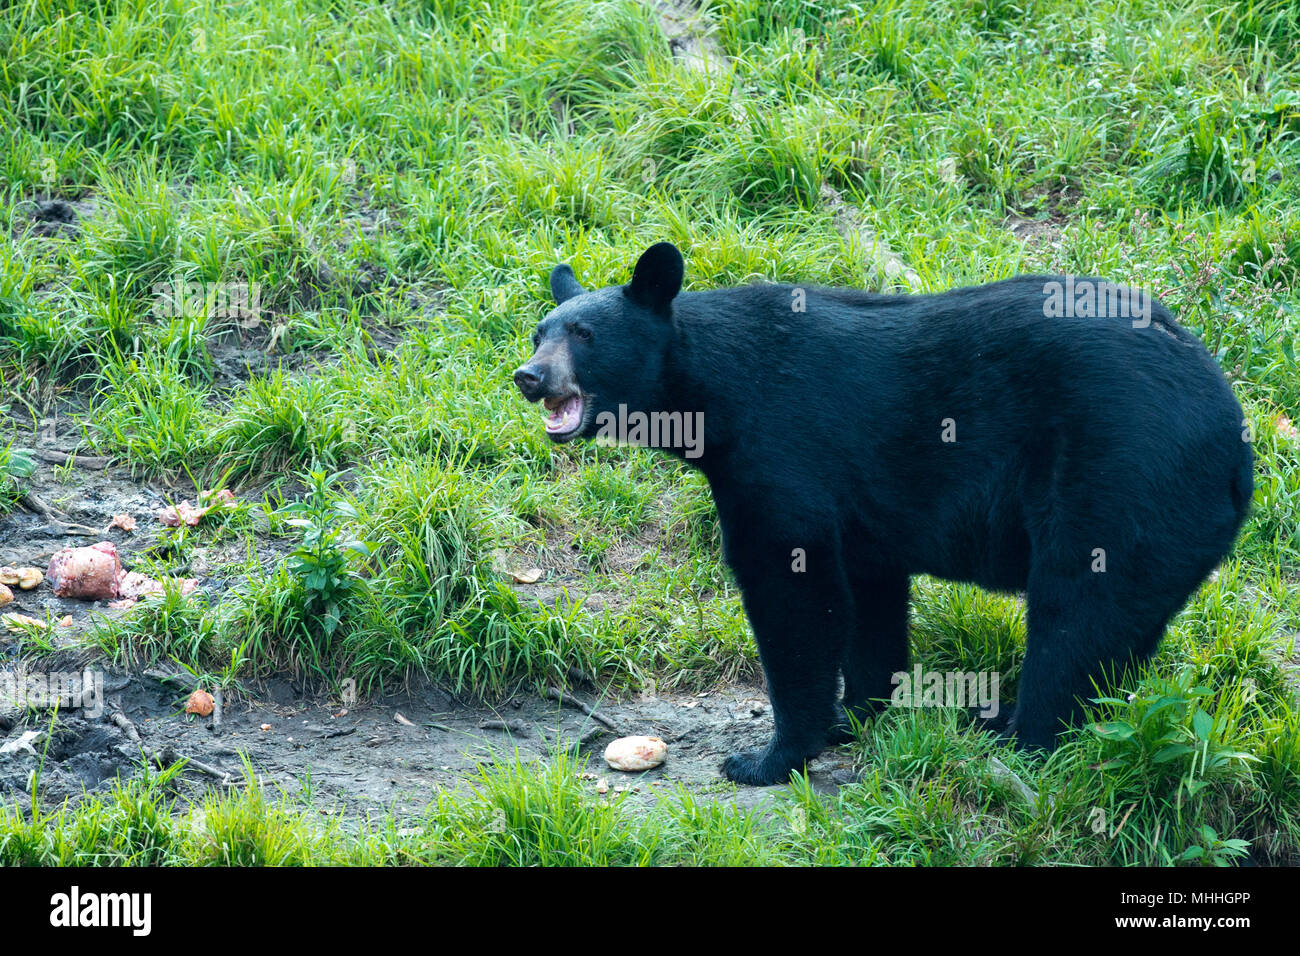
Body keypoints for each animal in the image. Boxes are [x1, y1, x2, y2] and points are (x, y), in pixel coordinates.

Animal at [514, 241, 1254, 786]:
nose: (530, 375)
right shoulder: (863, 512)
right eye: (539, 332)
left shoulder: (782, 453)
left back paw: (1021, 736)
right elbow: (871, 598)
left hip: (1117, 480)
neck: (709, 401)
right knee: (1118, 635)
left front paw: (769, 756)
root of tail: (1234, 435)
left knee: (1075, 614)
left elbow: (792, 590)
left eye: (583, 334)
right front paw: (862, 711)